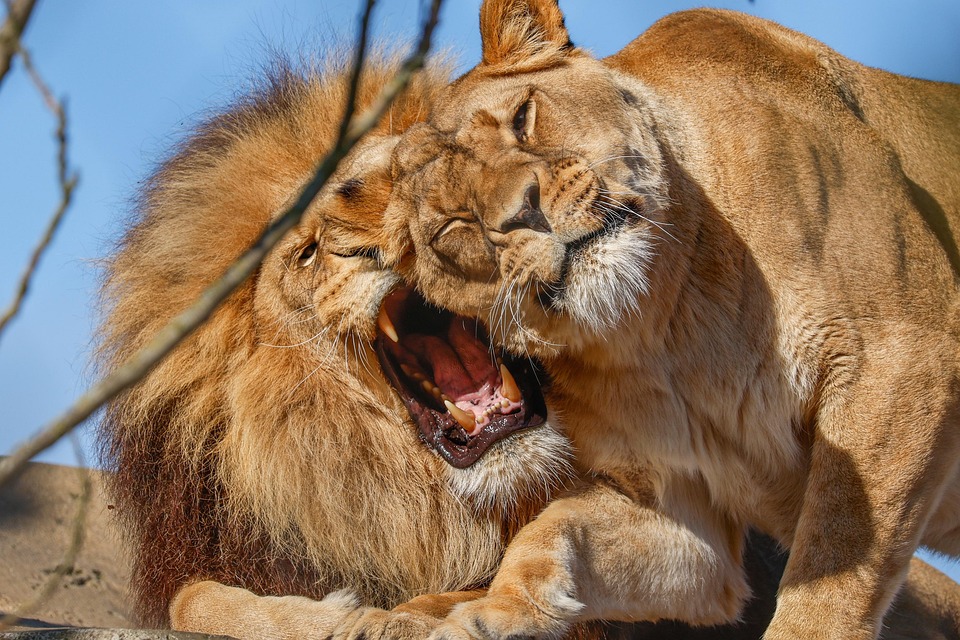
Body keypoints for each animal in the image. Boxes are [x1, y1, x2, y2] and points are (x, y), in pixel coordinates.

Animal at [380, 2, 960, 639]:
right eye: (453, 224)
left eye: (523, 118)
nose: (522, 211)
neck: (664, 328)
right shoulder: (681, 507)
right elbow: (552, 531)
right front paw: (486, 611)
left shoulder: (903, 359)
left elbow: (835, 559)